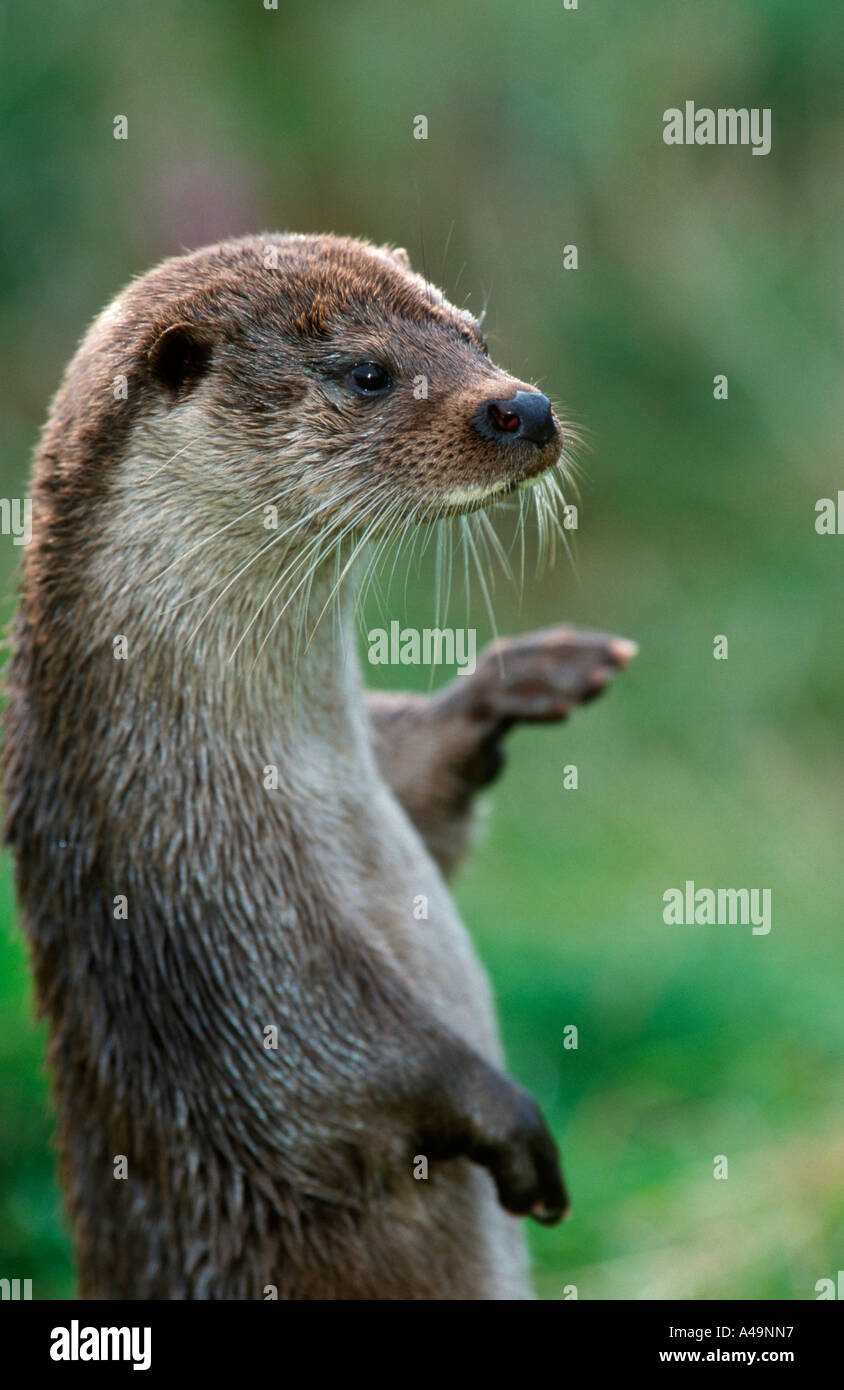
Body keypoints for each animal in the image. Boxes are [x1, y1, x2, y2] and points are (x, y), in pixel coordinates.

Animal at [2, 233, 635, 1300]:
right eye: (367, 374)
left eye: (474, 334)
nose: (525, 407)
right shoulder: (200, 889)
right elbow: (325, 1047)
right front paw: (511, 1127)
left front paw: (513, 682)